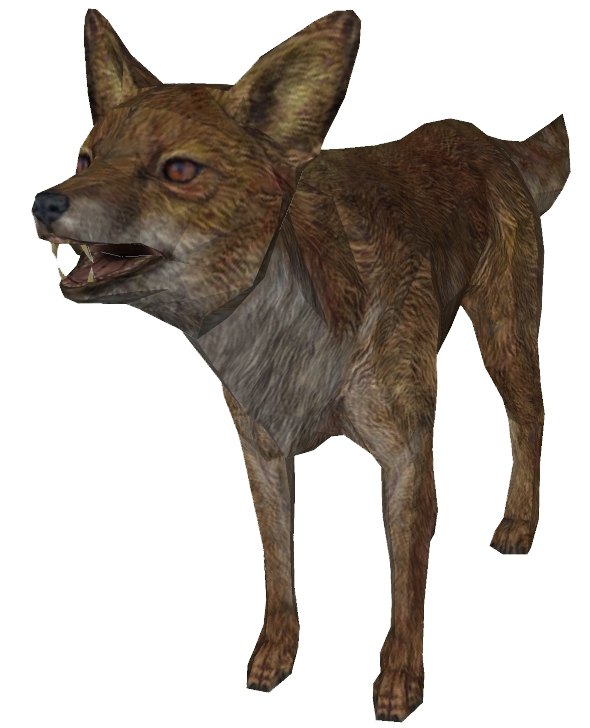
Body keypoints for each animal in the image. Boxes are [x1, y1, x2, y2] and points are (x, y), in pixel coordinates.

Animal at [31, 7, 570, 723]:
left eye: (179, 170)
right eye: (85, 158)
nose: (44, 203)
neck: (290, 344)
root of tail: (489, 141)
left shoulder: (405, 455)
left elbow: (406, 586)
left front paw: (402, 677)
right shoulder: (264, 455)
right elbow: (278, 567)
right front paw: (275, 655)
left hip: (505, 335)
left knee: (530, 417)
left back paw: (518, 524)